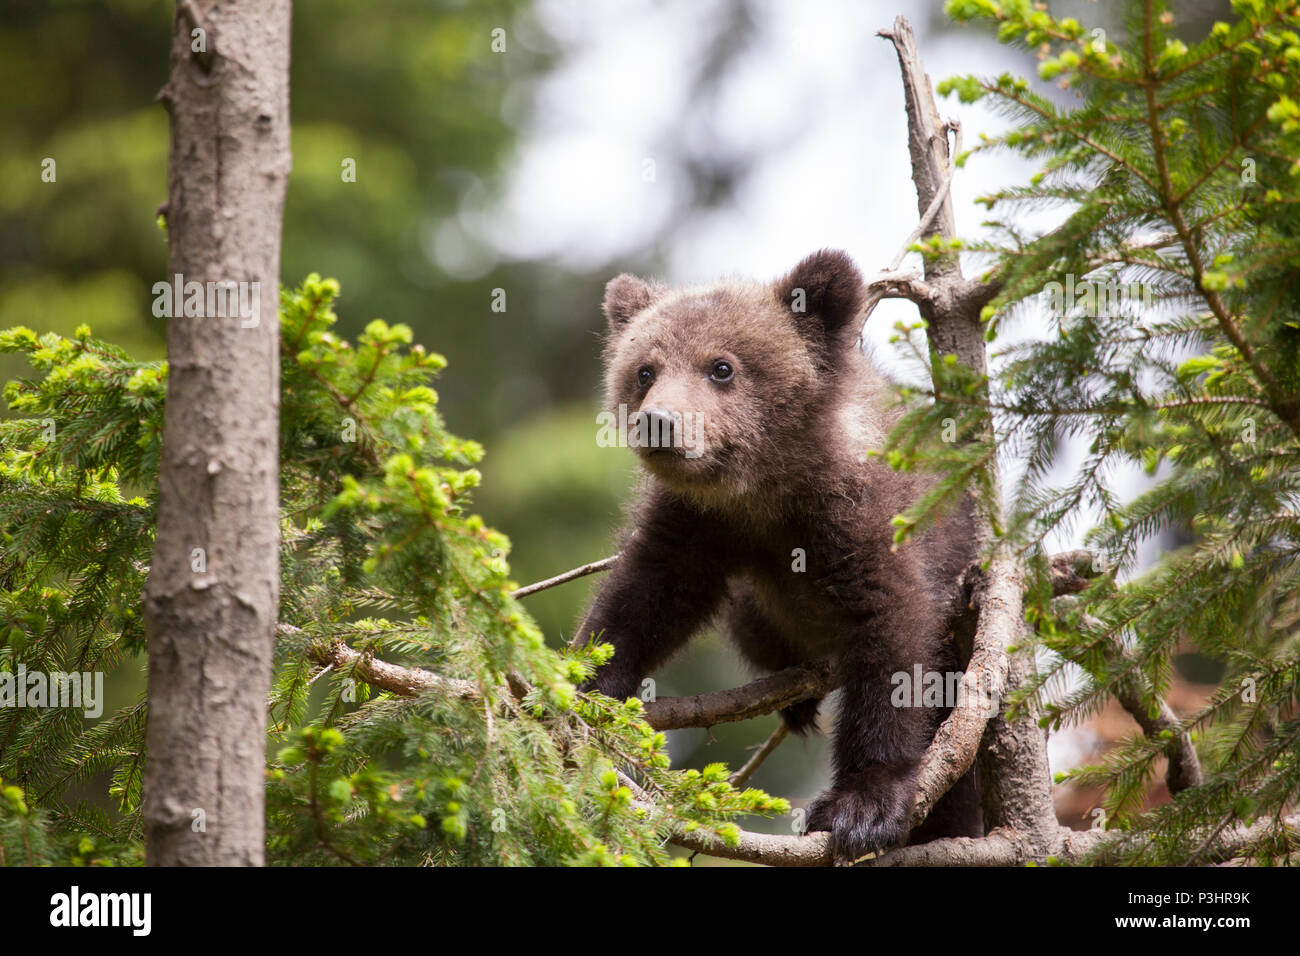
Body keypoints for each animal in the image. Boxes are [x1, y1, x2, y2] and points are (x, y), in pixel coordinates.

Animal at [575, 249, 982, 863]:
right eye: (645, 370)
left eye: (722, 367)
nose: (660, 422)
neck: (765, 492)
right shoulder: (697, 521)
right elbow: (647, 593)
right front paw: (584, 681)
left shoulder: (860, 521)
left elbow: (894, 631)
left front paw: (863, 804)